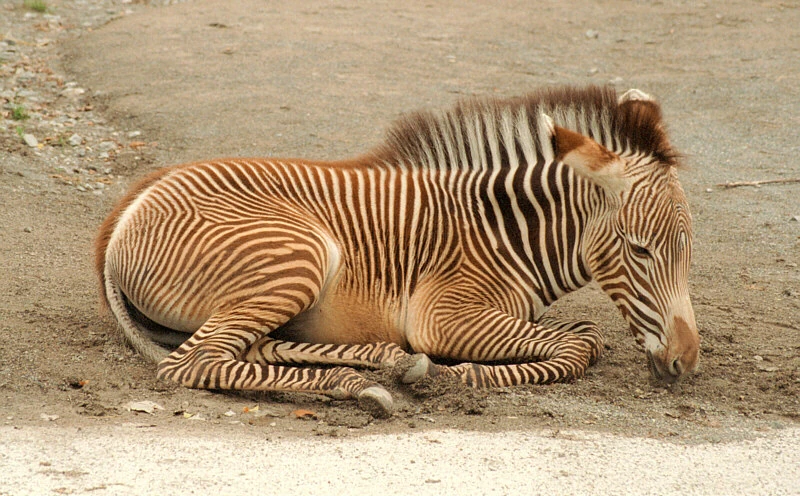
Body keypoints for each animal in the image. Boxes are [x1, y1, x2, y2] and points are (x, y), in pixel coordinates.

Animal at [96, 85, 699, 417]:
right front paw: (454, 377)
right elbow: (579, 348)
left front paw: (428, 370)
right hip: (300, 255)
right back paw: (359, 386)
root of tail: (127, 208)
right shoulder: (445, 315)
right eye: (641, 251)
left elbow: (586, 335)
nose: (687, 362)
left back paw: (385, 363)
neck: (506, 233)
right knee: (192, 363)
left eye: (687, 251)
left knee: (249, 349)